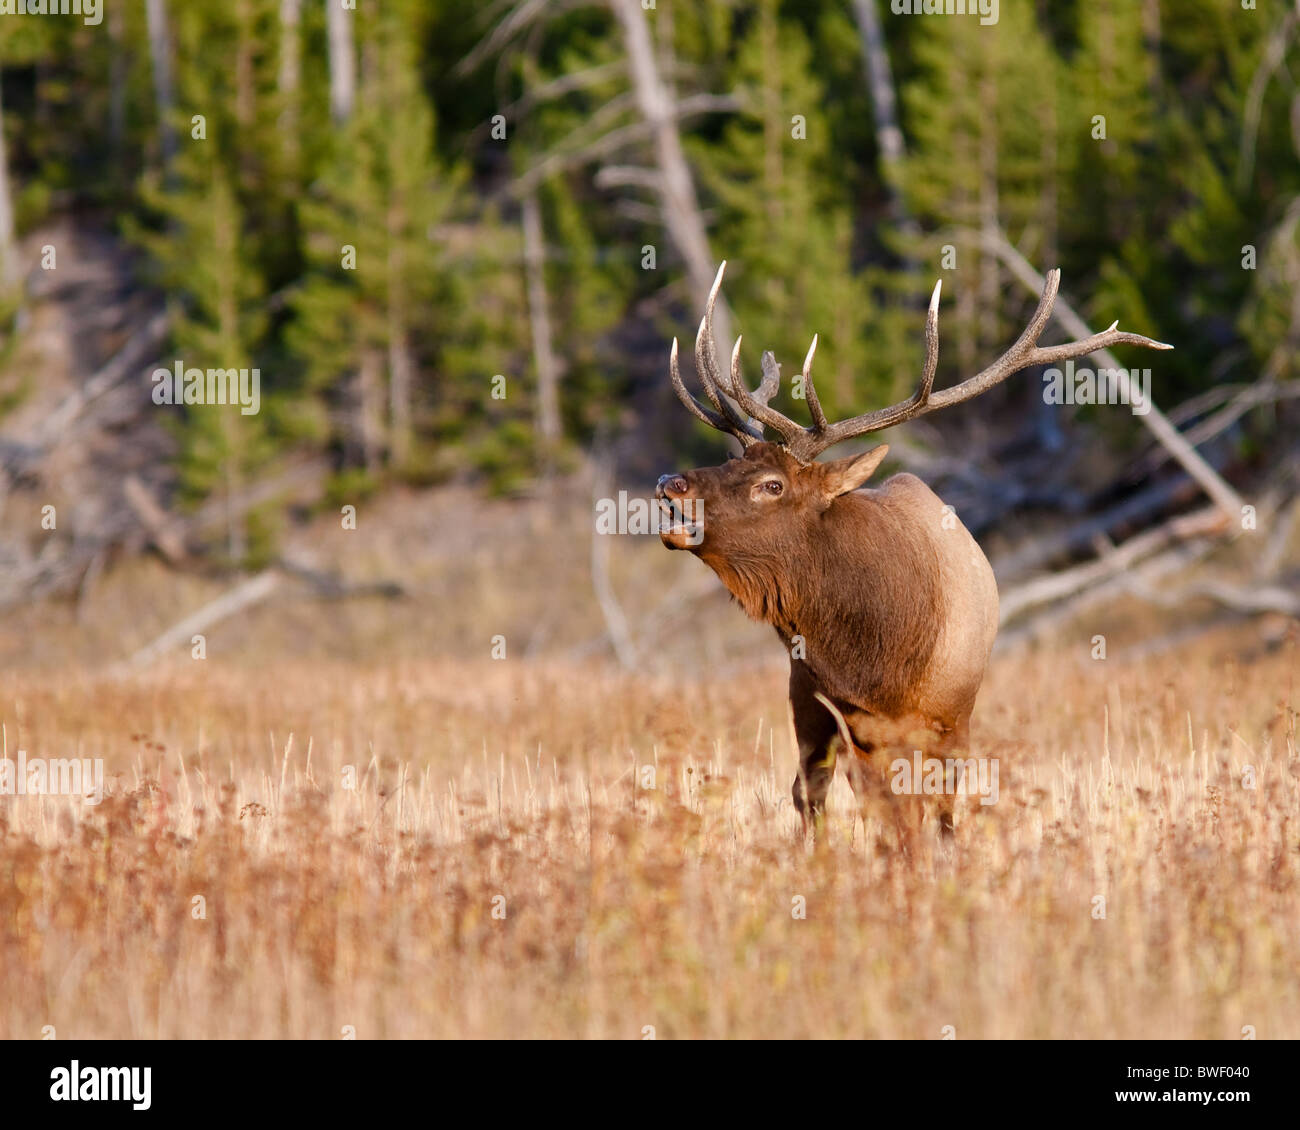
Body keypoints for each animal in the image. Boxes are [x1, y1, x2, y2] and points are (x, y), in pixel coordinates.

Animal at [656, 262, 1171, 838]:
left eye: (772, 484)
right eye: (729, 459)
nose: (670, 483)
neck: (881, 660)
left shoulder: (951, 723)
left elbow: (936, 814)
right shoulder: (840, 718)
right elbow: (876, 812)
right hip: (805, 702)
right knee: (810, 794)